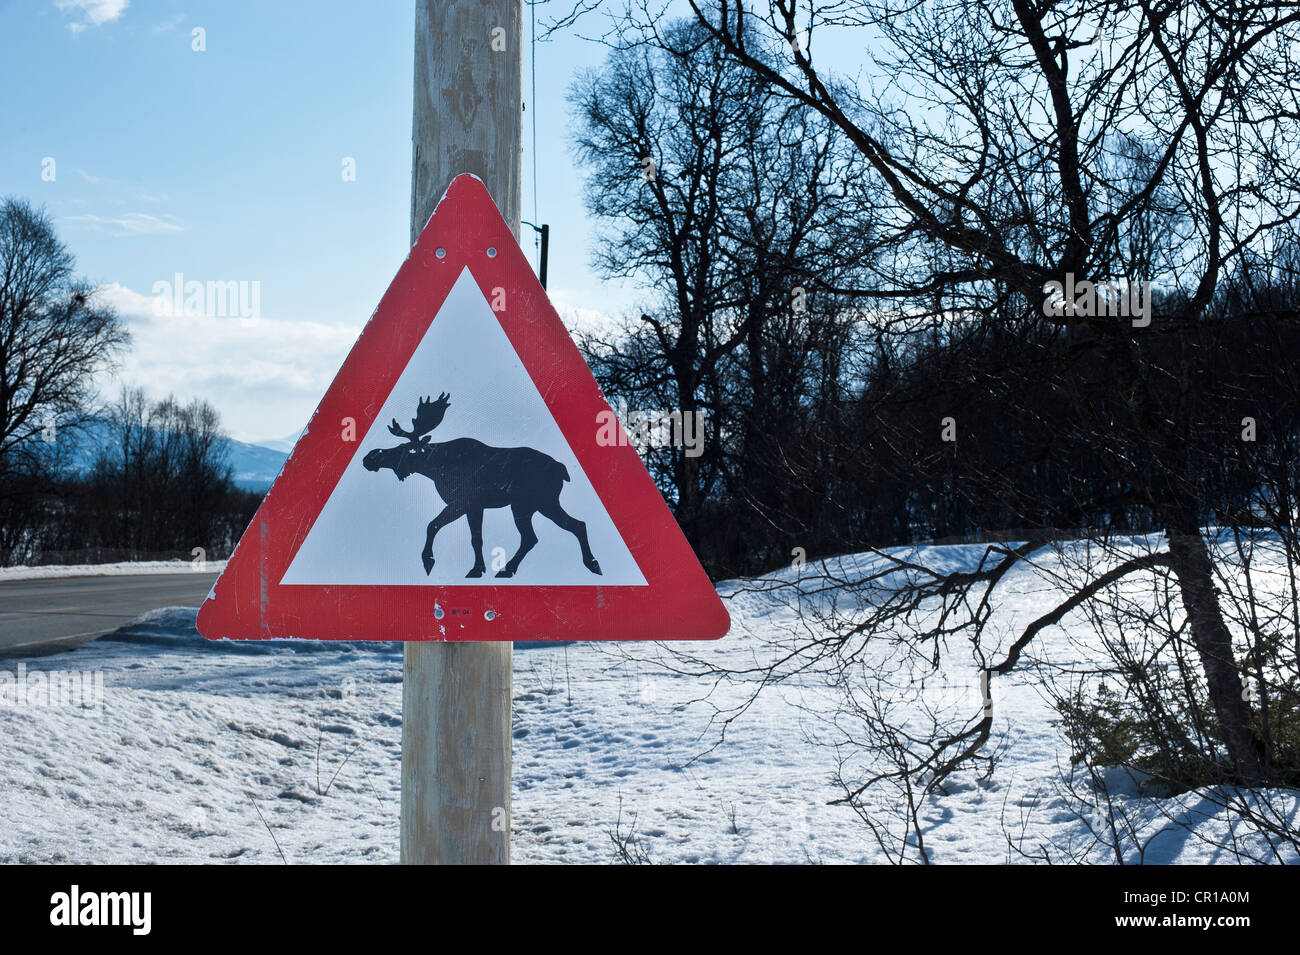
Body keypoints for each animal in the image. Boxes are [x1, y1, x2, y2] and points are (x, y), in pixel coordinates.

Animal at [362, 393, 603, 579]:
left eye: (404, 449)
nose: (369, 458)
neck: (435, 467)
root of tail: (562, 469)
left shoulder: (463, 502)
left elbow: (435, 526)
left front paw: (430, 561)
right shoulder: (473, 506)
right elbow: (474, 538)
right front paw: (477, 568)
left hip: (533, 503)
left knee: (549, 532)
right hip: (536, 505)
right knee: (560, 529)